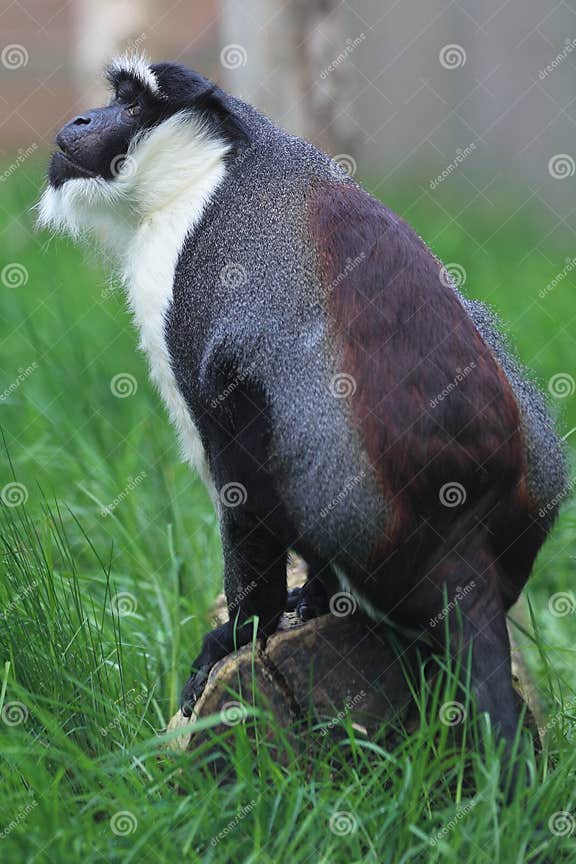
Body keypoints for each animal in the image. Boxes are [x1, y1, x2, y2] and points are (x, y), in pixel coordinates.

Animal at [38, 54, 567, 782]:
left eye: (132, 103)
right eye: (113, 96)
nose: (84, 118)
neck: (213, 168)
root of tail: (464, 536)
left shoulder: (197, 314)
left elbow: (240, 469)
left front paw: (240, 632)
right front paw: (303, 604)